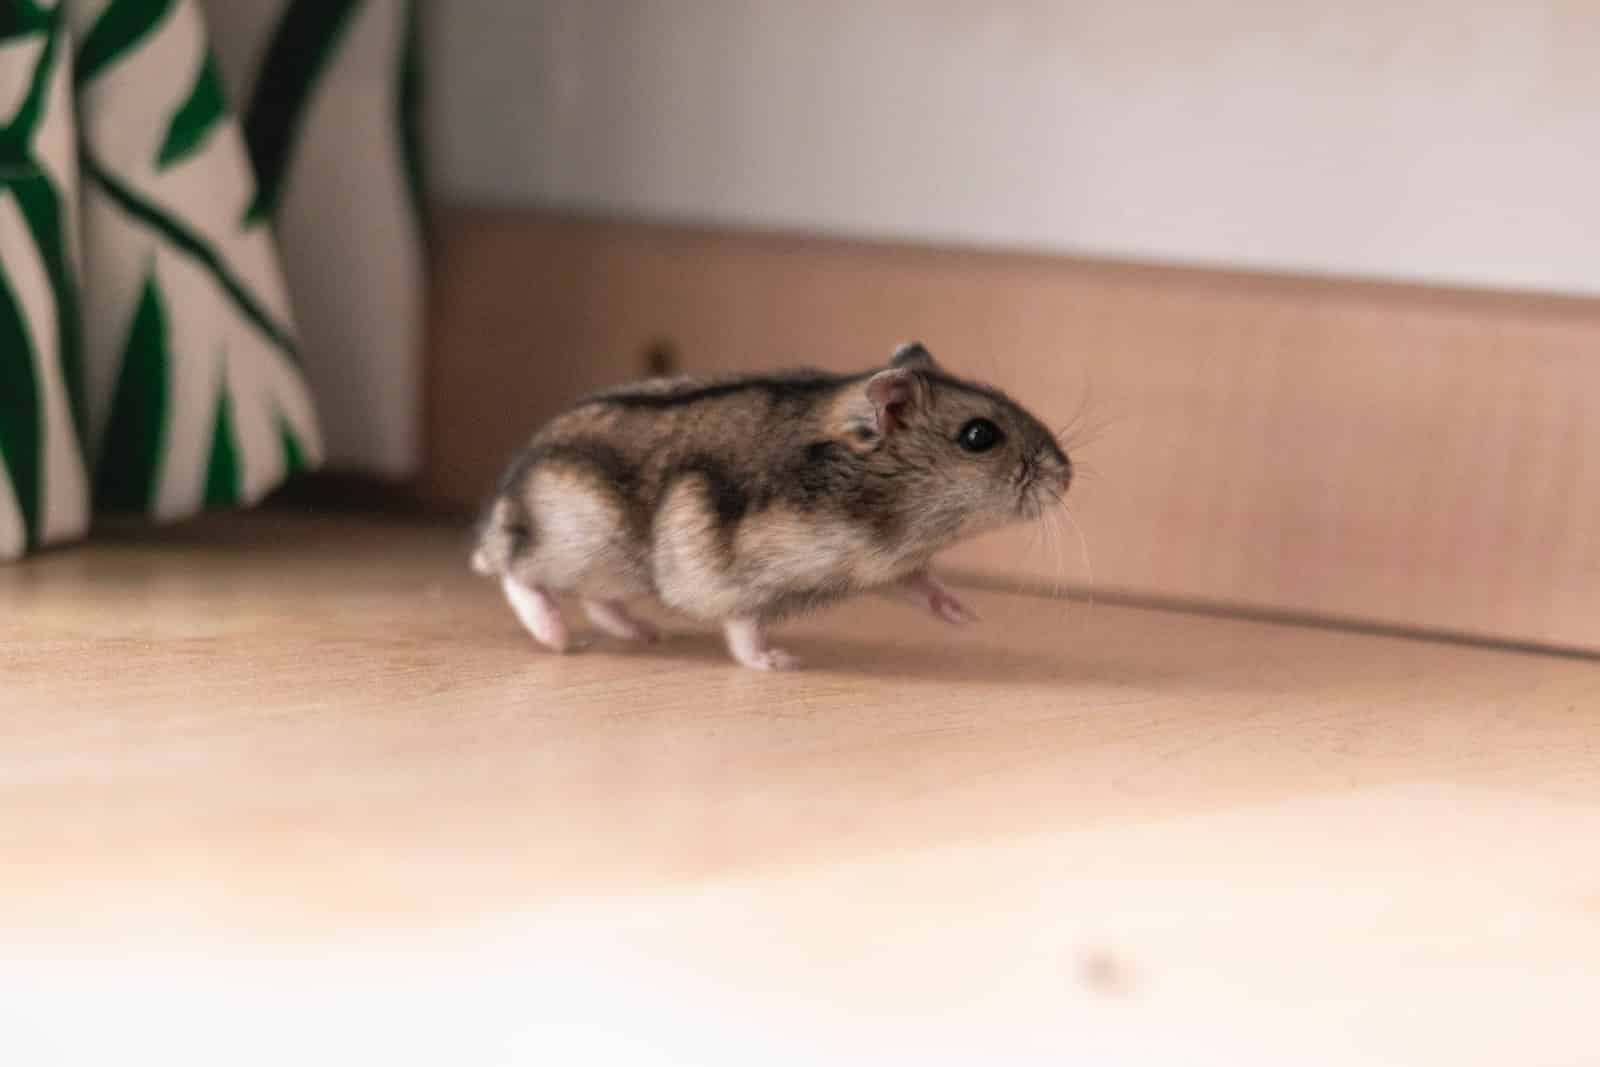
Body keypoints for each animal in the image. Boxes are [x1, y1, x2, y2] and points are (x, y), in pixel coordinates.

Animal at [471, 342, 1072, 669]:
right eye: (979, 435)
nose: (1065, 476)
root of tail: (503, 504)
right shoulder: (733, 575)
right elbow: (744, 628)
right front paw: (781, 663)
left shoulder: (885, 566)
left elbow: (919, 584)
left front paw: (966, 616)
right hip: (575, 545)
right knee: (516, 574)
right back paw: (559, 638)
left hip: (612, 568)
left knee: (599, 602)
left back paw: (647, 633)